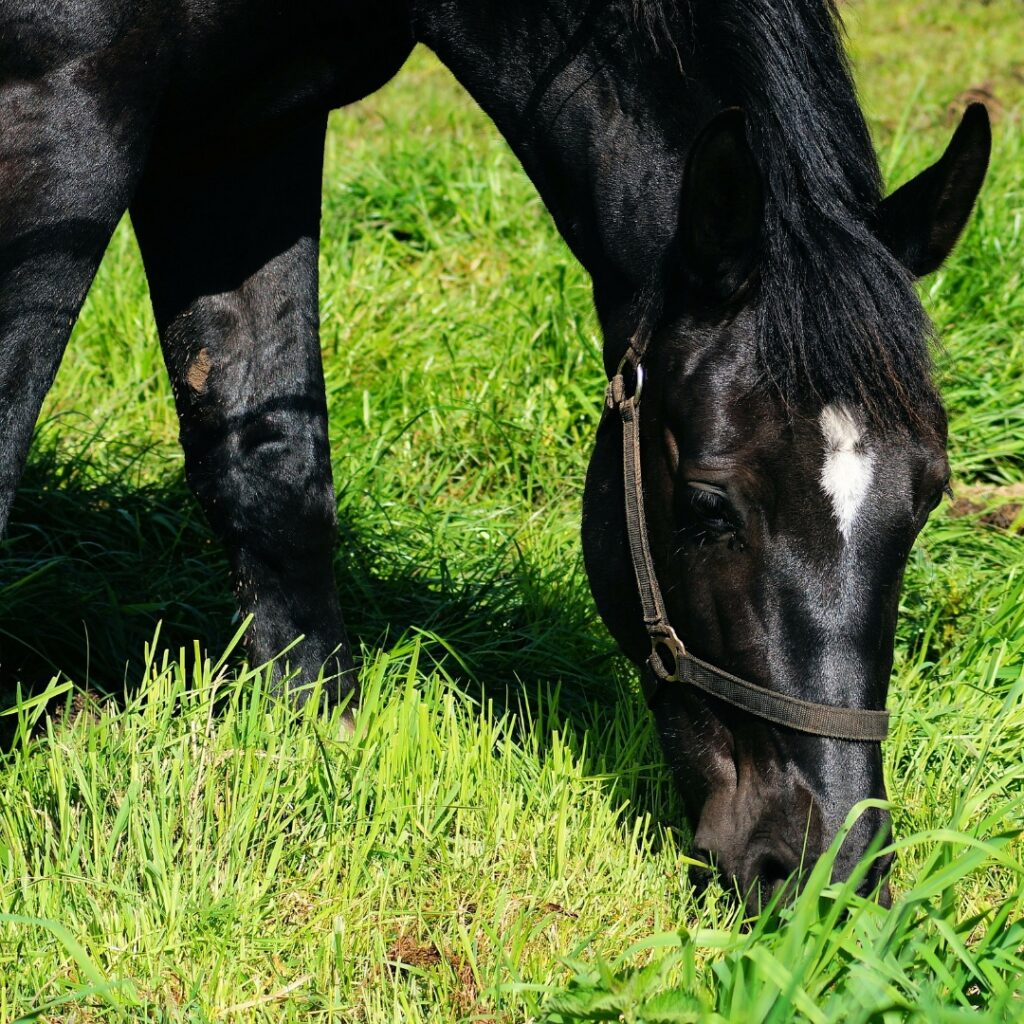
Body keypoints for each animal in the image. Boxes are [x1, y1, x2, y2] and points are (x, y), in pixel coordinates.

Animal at [0, 0, 989, 908]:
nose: (834, 875)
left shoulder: (252, 125)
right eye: (707, 507)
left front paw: (313, 750)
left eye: (928, 498)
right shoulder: (60, 106)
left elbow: (272, 476)